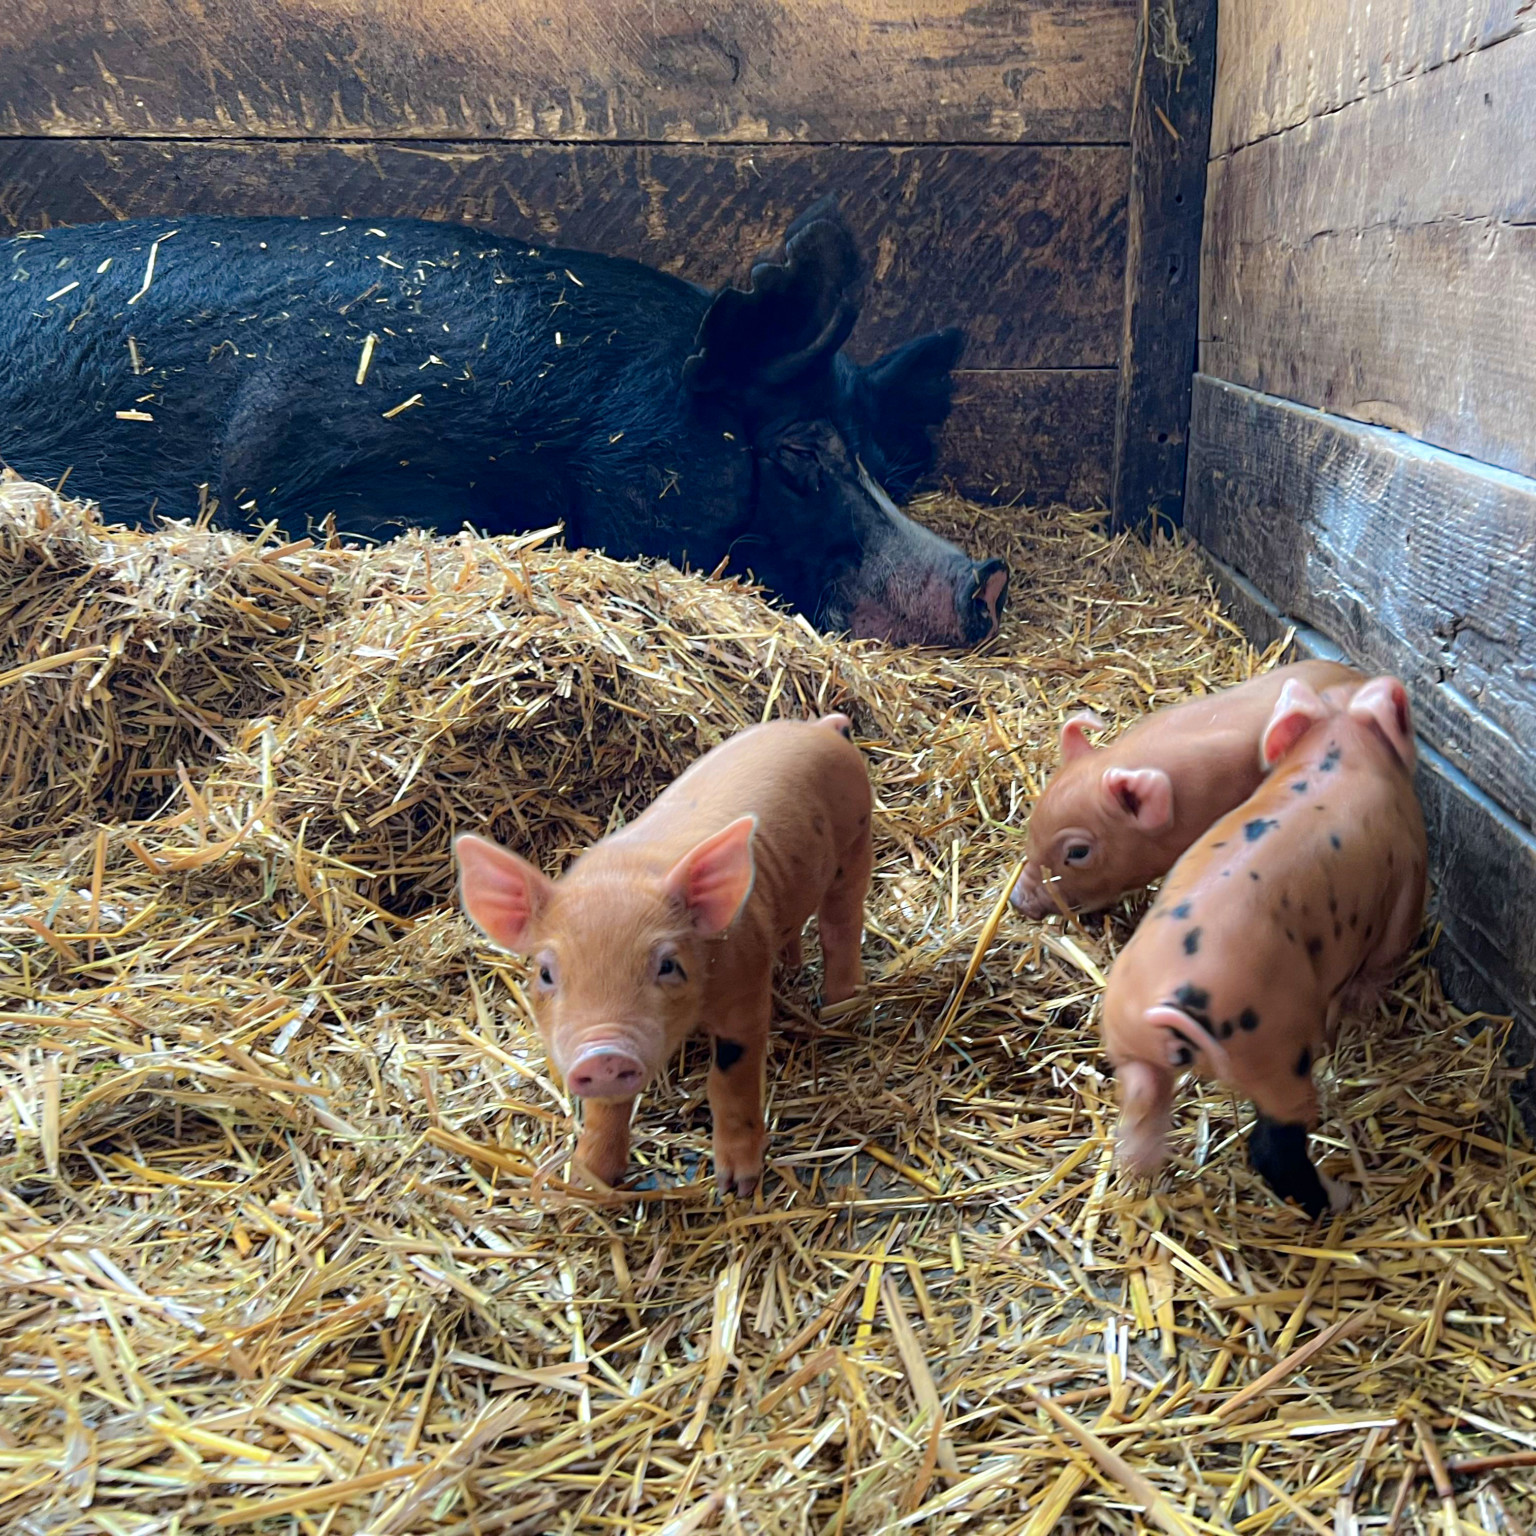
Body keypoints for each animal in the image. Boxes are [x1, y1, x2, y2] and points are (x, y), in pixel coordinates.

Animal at [454, 714, 873, 1194]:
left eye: (668, 965)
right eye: (545, 974)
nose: (603, 1054)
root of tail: (822, 726)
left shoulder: (744, 988)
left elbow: (730, 1082)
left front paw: (736, 1187)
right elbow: (606, 1108)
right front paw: (586, 1182)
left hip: (856, 842)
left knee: (841, 924)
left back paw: (839, 1008)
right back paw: (790, 967)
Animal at [1101, 674, 1428, 1218]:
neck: (1337, 753)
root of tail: (1167, 998)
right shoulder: (1408, 875)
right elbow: (1385, 956)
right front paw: (1363, 1013)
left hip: (1130, 1047)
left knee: (1139, 1119)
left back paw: (1137, 1182)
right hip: (1275, 1052)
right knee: (1274, 1146)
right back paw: (1340, 1199)